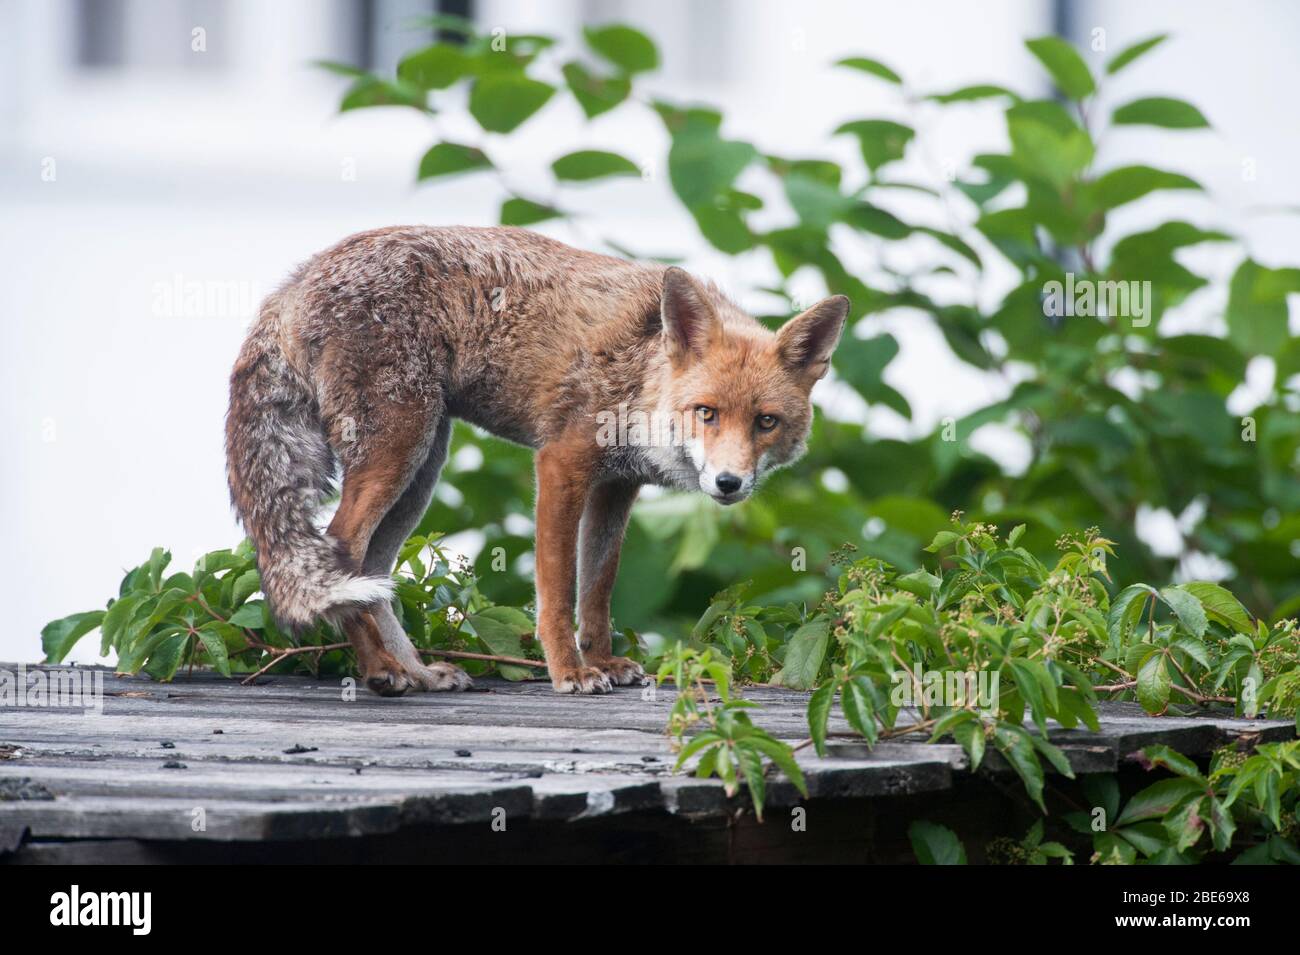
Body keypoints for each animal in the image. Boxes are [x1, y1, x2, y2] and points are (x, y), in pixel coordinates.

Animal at [225, 226, 848, 696]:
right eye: (707, 412)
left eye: (765, 422)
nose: (728, 483)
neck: (641, 377)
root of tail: (294, 281)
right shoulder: (561, 463)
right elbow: (557, 590)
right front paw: (569, 671)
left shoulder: (616, 486)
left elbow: (597, 589)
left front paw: (604, 661)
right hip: (399, 450)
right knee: (343, 546)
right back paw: (380, 671)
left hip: (422, 468)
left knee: (373, 570)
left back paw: (416, 671)